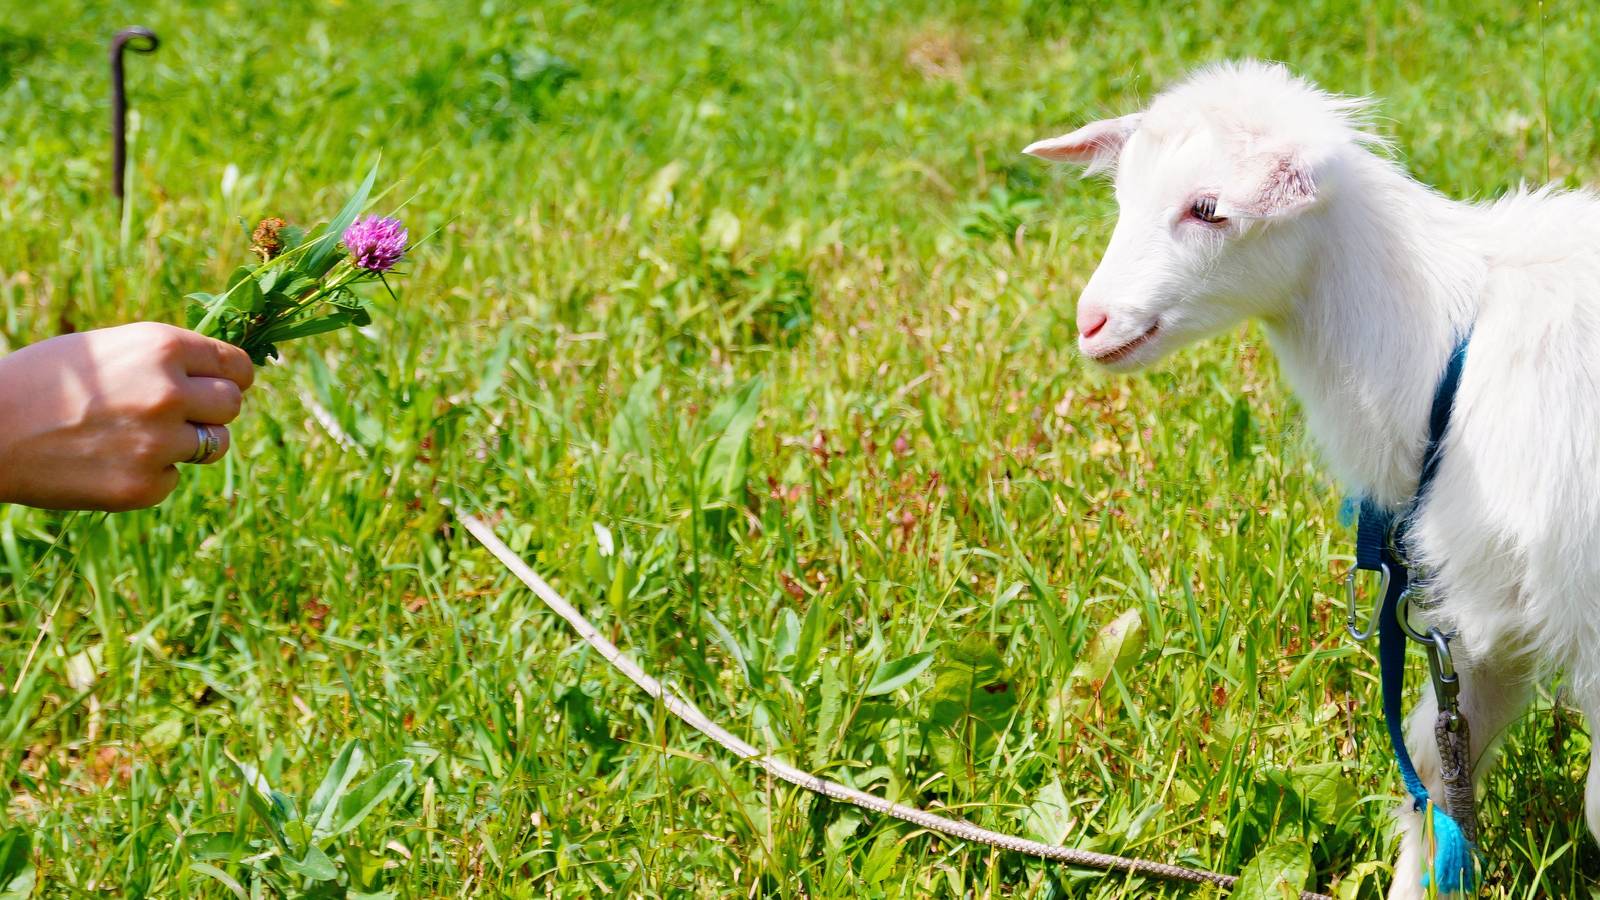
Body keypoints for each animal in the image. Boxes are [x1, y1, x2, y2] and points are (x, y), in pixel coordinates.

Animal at [1025, 60, 1600, 898]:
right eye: (1124, 196)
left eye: (1208, 209)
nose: (1092, 324)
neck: (1447, 354)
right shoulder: (1492, 611)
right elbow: (1435, 766)